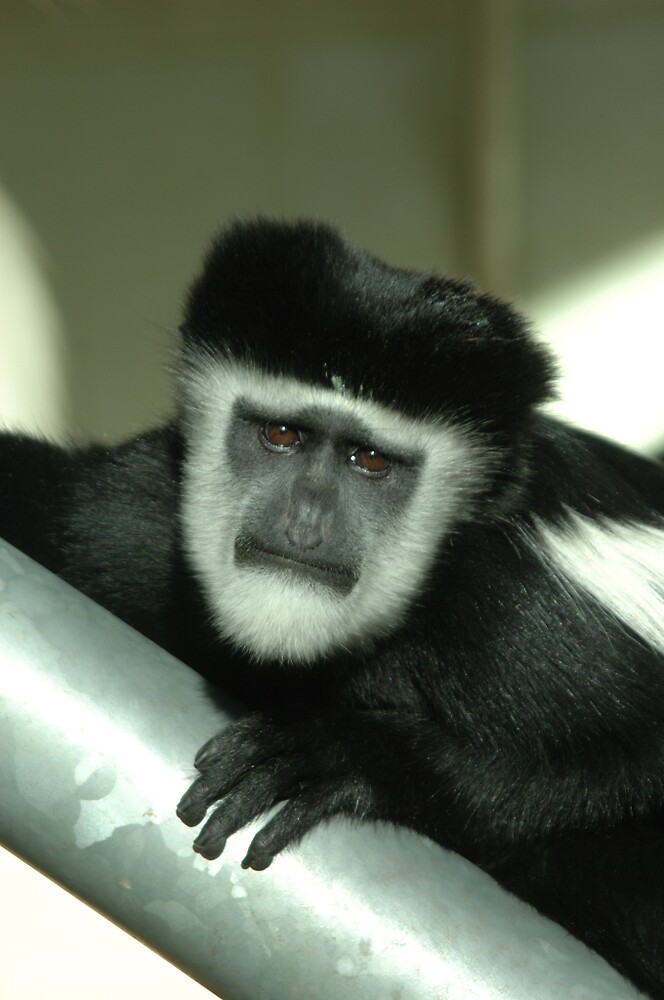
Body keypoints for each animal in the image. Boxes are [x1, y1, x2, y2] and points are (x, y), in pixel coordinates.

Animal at [1, 218, 663, 997]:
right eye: (282, 435)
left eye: (369, 461)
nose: (306, 522)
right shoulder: (131, 518)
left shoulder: (522, 625)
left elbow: (631, 757)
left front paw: (339, 754)